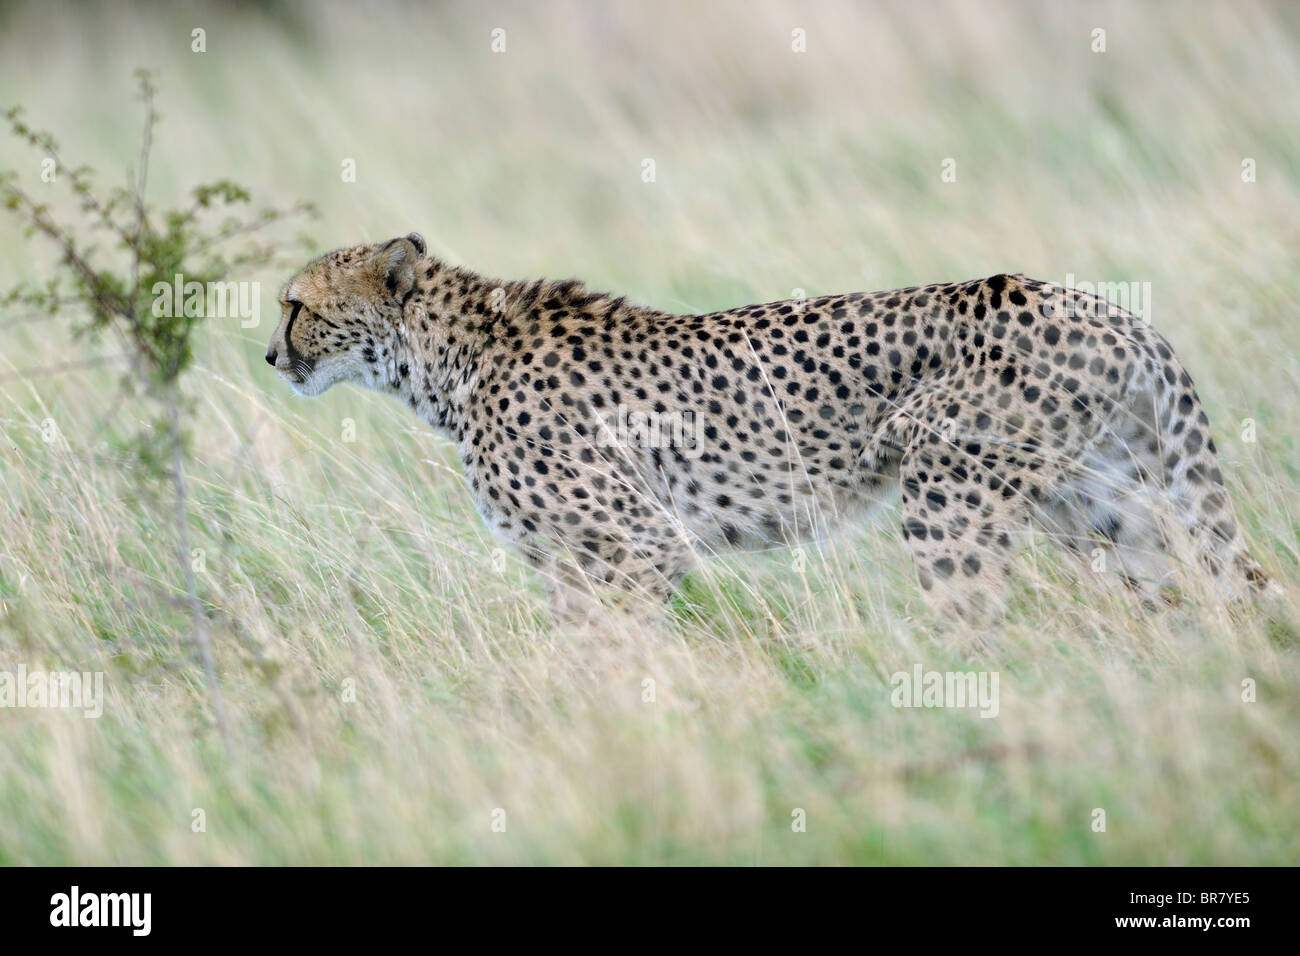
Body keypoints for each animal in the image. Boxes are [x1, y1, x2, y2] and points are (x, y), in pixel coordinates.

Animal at [267, 232, 1272, 626]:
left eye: (294, 305)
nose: (268, 357)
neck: (447, 360)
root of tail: (1107, 308)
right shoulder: (574, 557)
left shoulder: (636, 541)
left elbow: (606, 647)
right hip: (1112, 505)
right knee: (1225, 593)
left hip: (953, 495)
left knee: (980, 627)